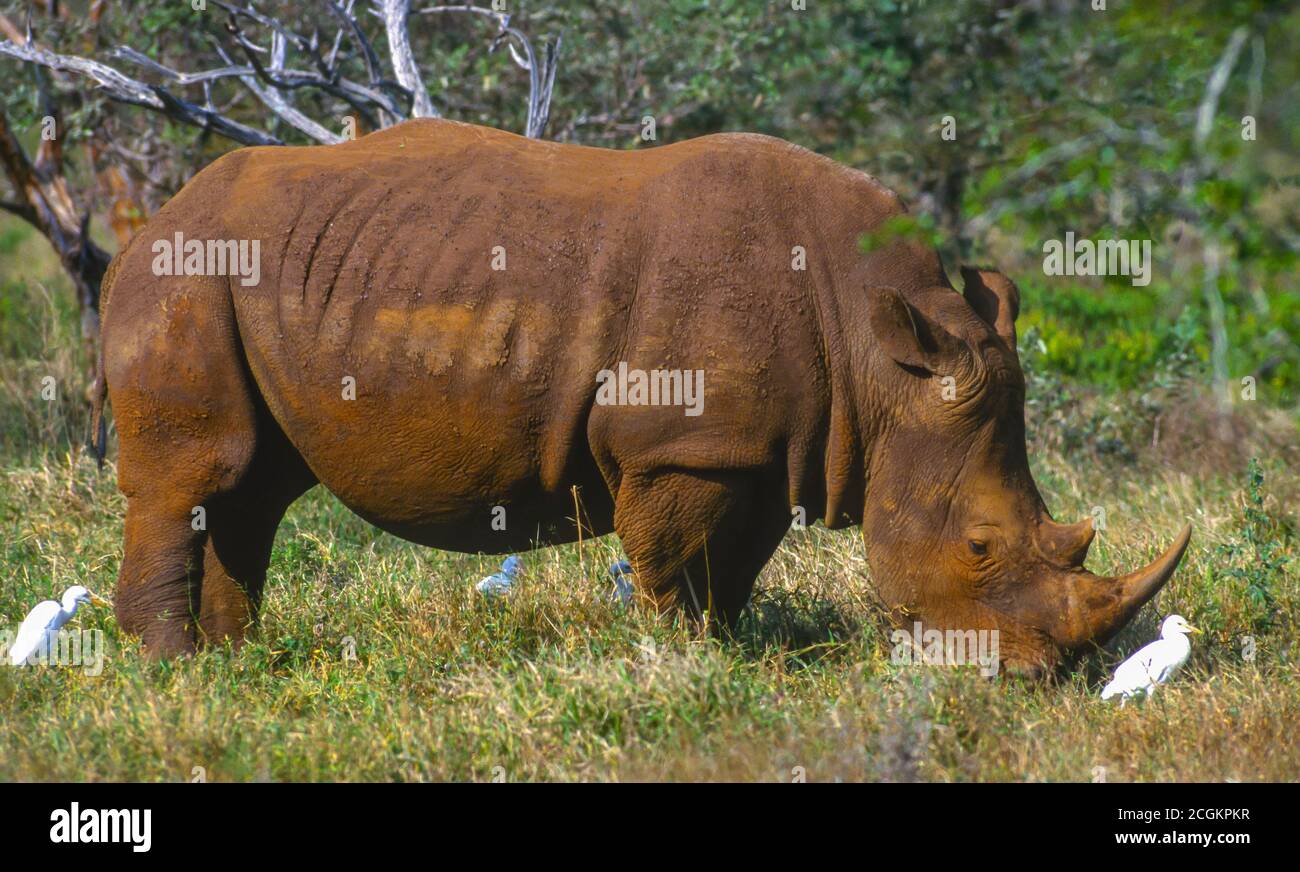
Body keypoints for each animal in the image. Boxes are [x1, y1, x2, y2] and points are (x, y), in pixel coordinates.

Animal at [92, 119, 1190, 677]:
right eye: (978, 546)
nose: (1037, 678)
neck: (881, 361)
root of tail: (146, 224)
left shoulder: (761, 448)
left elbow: (730, 567)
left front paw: (726, 657)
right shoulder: (682, 442)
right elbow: (670, 561)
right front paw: (684, 668)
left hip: (255, 278)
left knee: (252, 489)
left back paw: (235, 665)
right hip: (186, 277)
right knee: (201, 473)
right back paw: (173, 677)